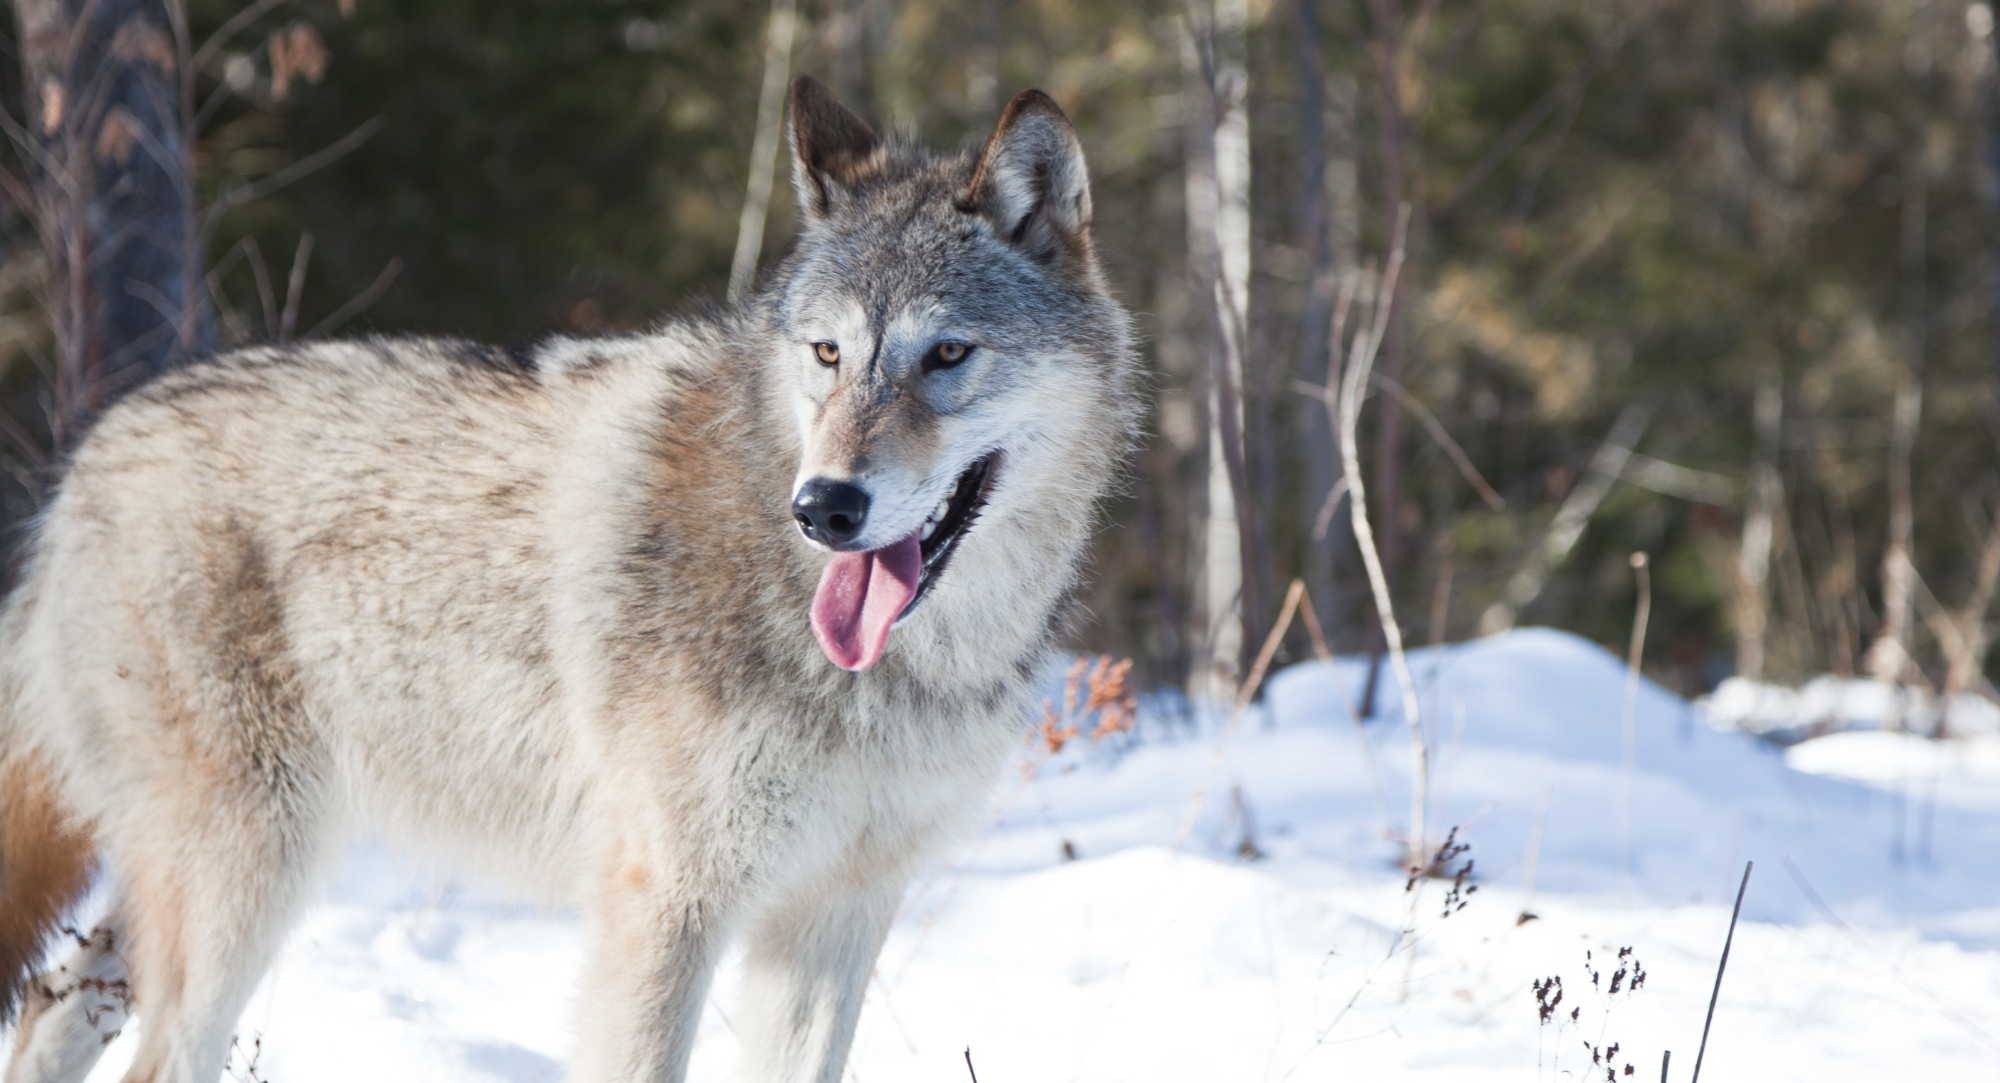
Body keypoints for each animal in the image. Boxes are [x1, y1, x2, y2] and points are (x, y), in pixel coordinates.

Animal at [0, 76, 1137, 1083]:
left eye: (946, 354)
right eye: (826, 353)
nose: (824, 506)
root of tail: (86, 462)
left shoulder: (836, 913)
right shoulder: (665, 902)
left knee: (50, 1011)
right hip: (246, 882)